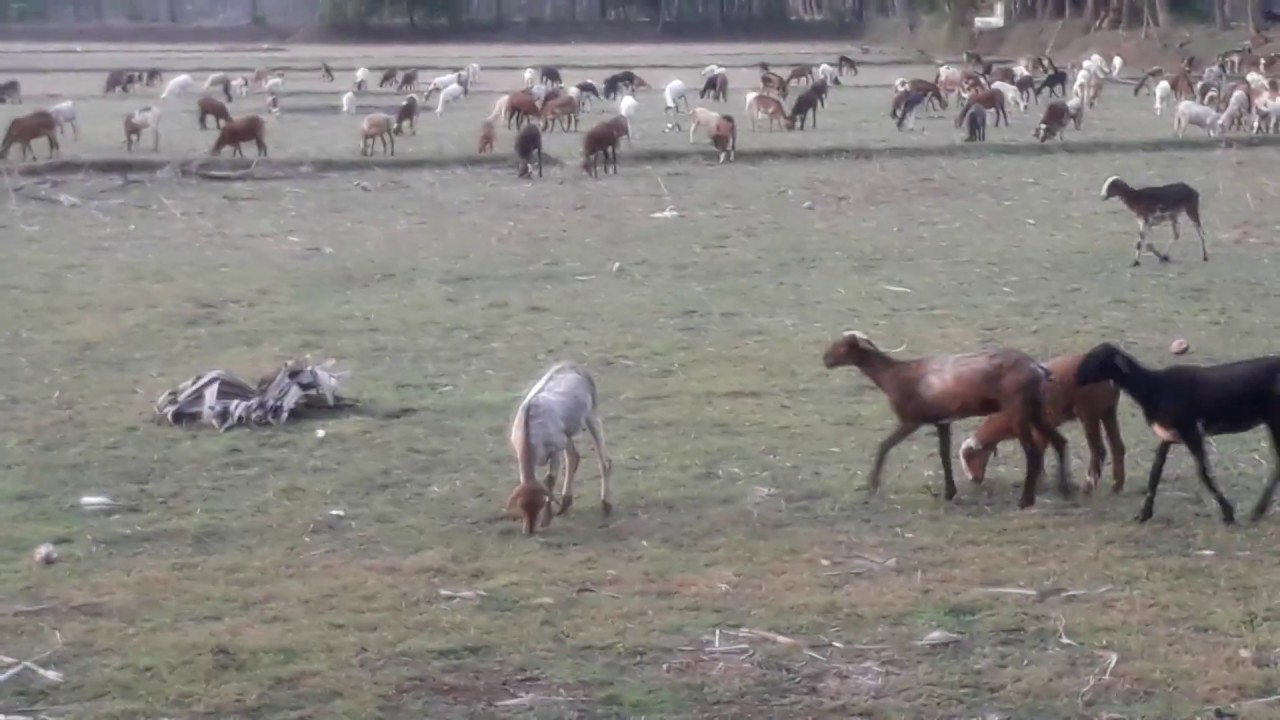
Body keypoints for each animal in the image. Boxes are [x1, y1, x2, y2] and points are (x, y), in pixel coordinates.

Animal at [506, 362, 612, 534]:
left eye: (539, 504)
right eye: (521, 506)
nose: (530, 530)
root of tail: (572, 364)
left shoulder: (555, 449)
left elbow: (549, 479)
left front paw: (546, 520)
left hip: (592, 412)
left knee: (604, 461)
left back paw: (606, 504)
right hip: (566, 432)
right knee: (574, 456)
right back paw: (565, 503)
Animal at [822, 331, 1073, 508]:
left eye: (844, 345)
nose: (825, 359)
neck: (893, 376)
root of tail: (1036, 367)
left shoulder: (911, 421)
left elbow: (884, 446)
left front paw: (872, 485)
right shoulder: (942, 421)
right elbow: (943, 455)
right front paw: (950, 492)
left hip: (1018, 412)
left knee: (1033, 452)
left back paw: (1026, 500)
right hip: (1036, 410)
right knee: (1060, 441)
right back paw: (1065, 488)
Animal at [961, 352, 1125, 494]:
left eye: (970, 457)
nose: (974, 480)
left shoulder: (1042, 427)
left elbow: (1039, 452)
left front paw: (1039, 483)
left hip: (1089, 412)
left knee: (1098, 450)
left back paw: (1088, 487)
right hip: (1108, 410)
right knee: (1118, 447)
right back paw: (1117, 486)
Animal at [1074, 343, 1280, 525]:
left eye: (1098, 358)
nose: (1076, 377)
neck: (1154, 388)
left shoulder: (1191, 430)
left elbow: (1204, 472)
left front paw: (1228, 513)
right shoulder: (1167, 435)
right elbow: (1155, 473)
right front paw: (1144, 514)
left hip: (1275, 419)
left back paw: (1257, 511)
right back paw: (1258, 511)